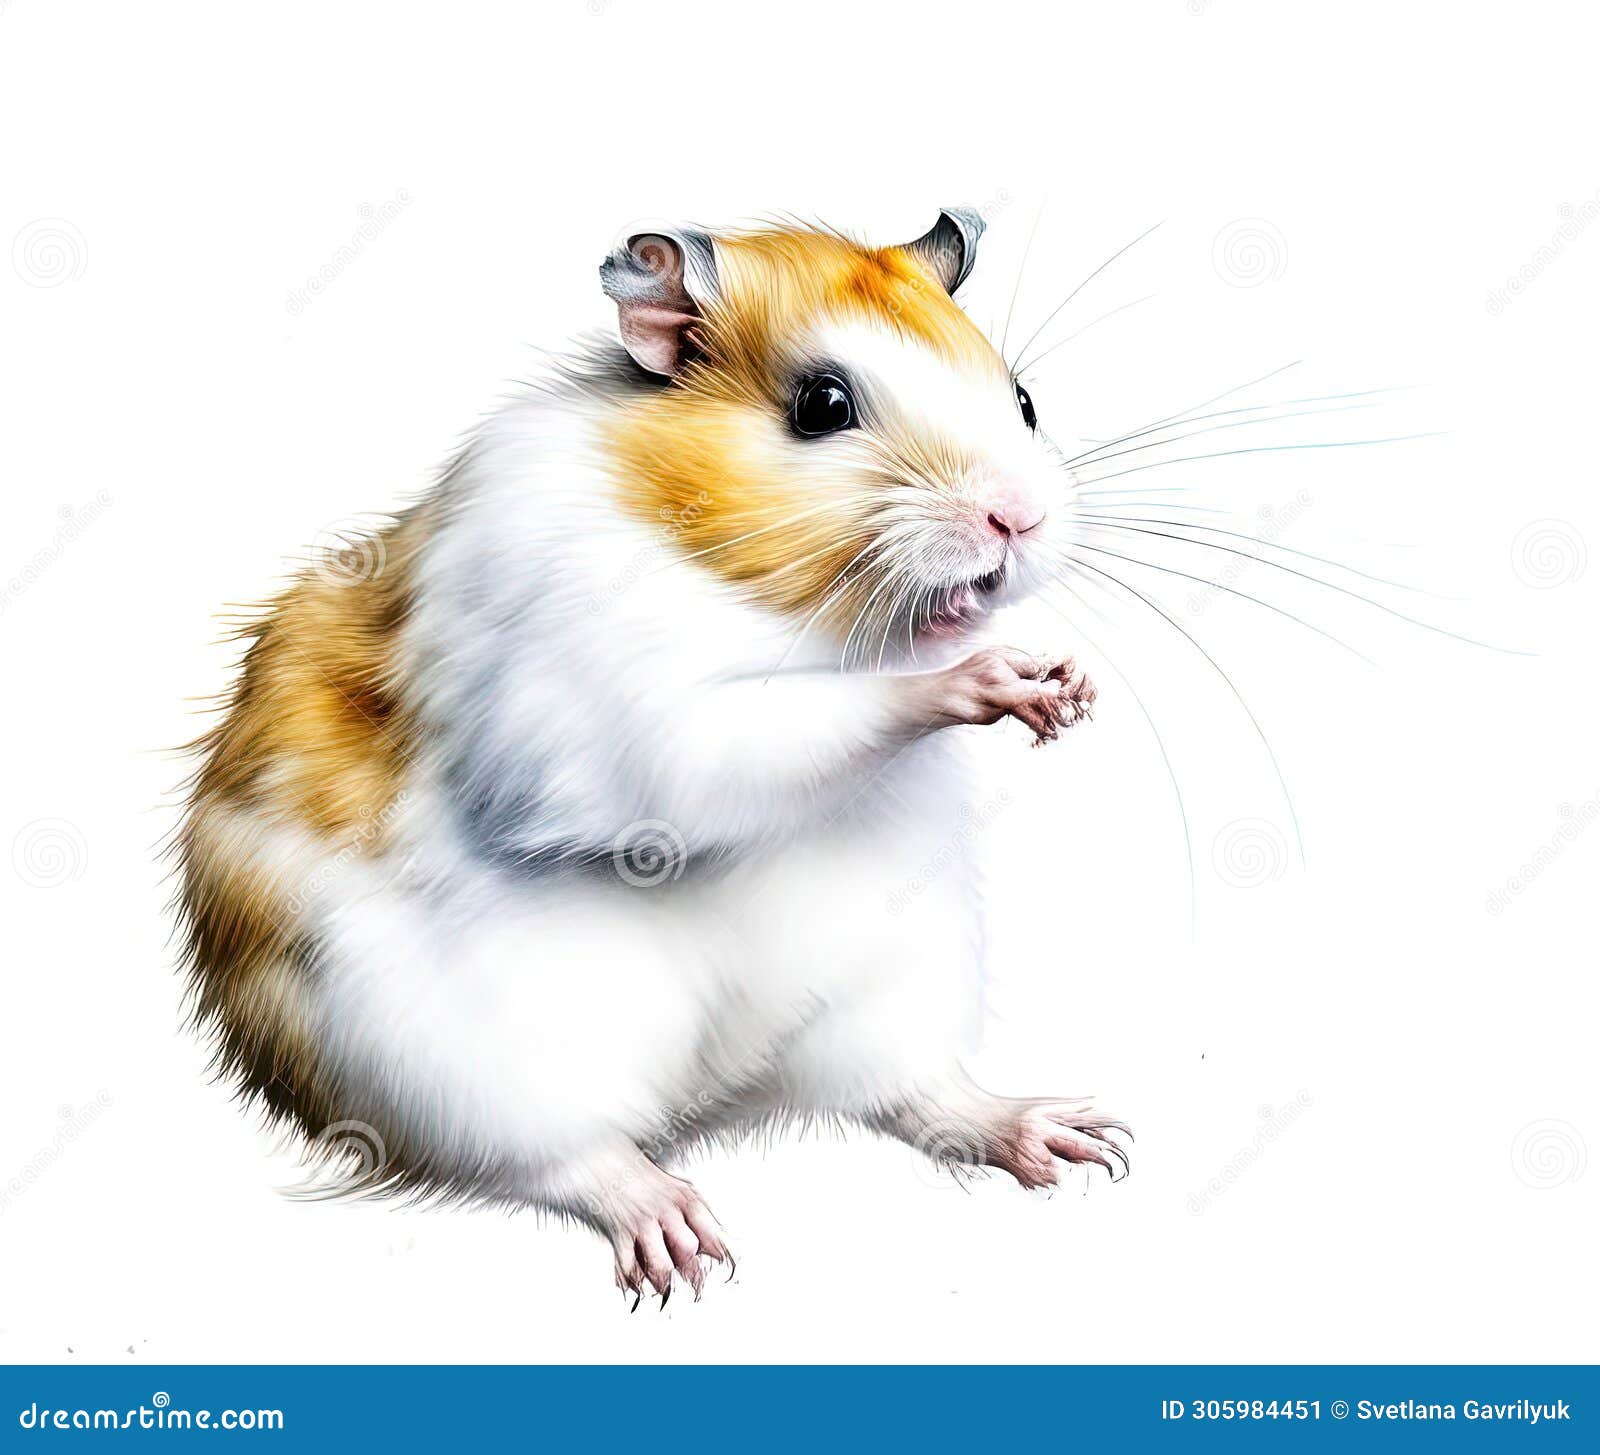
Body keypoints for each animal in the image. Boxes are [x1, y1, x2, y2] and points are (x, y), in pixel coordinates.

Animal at [175, 208, 1128, 1304]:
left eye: (1024, 400)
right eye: (822, 406)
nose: (1018, 519)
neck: (748, 595)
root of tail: (716, 1097)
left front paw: (1065, 681)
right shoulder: (616, 713)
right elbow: (788, 720)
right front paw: (999, 676)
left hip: (902, 978)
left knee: (917, 1093)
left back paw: (1060, 1137)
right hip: (462, 1059)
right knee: (565, 1159)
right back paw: (675, 1236)